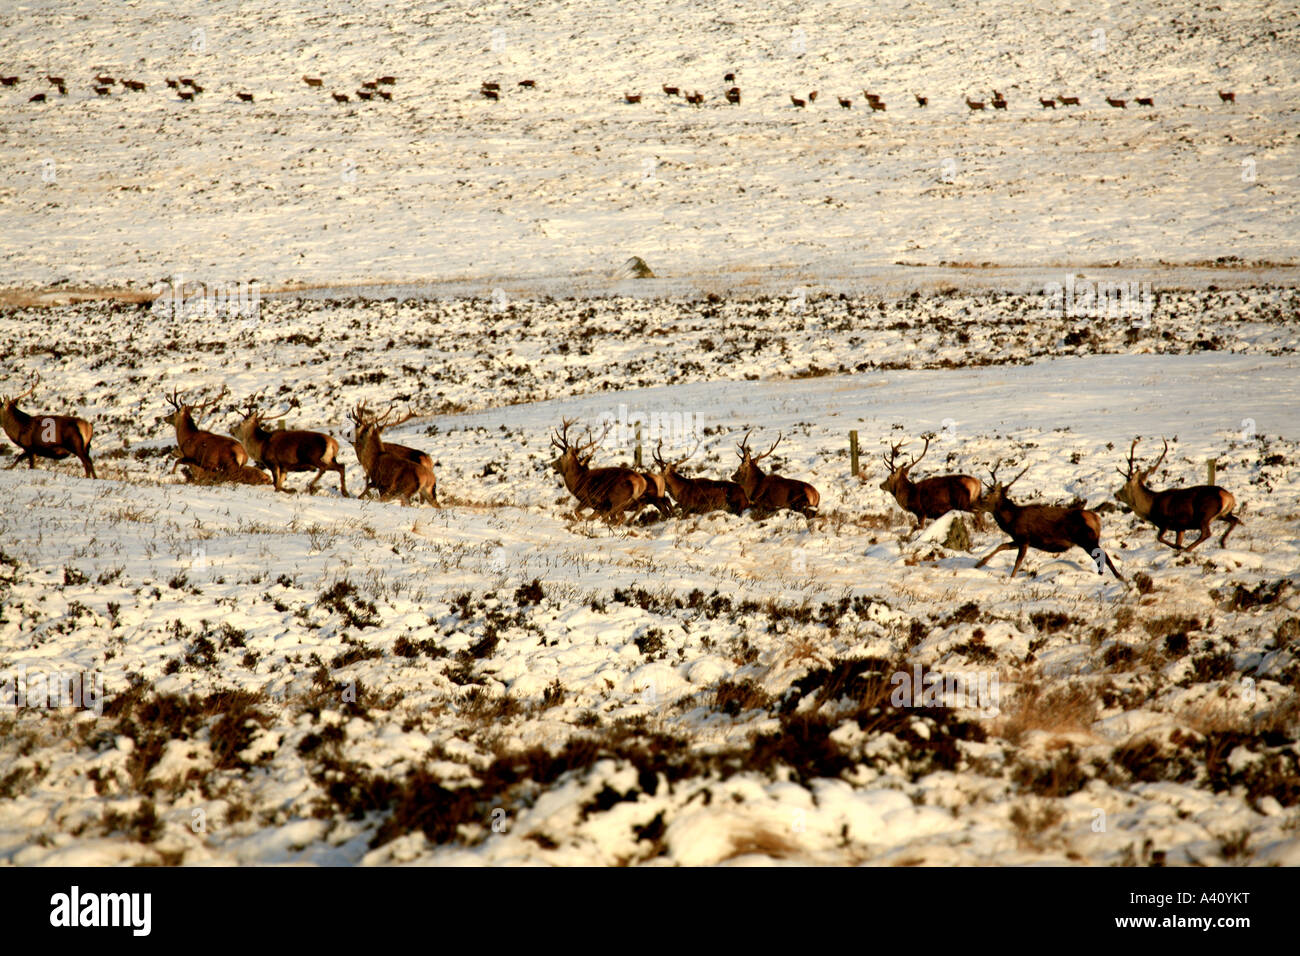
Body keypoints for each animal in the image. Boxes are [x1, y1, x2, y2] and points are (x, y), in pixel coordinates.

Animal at [974, 461, 1123, 580]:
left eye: (986, 497)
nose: (974, 504)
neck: (1011, 519)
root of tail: (1096, 519)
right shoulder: (1020, 539)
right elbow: (1002, 546)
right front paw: (979, 564)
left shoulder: (1024, 538)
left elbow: (1017, 561)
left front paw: (1011, 578)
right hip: (1089, 540)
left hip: (1087, 539)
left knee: (1105, 556)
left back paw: (1119, 577)